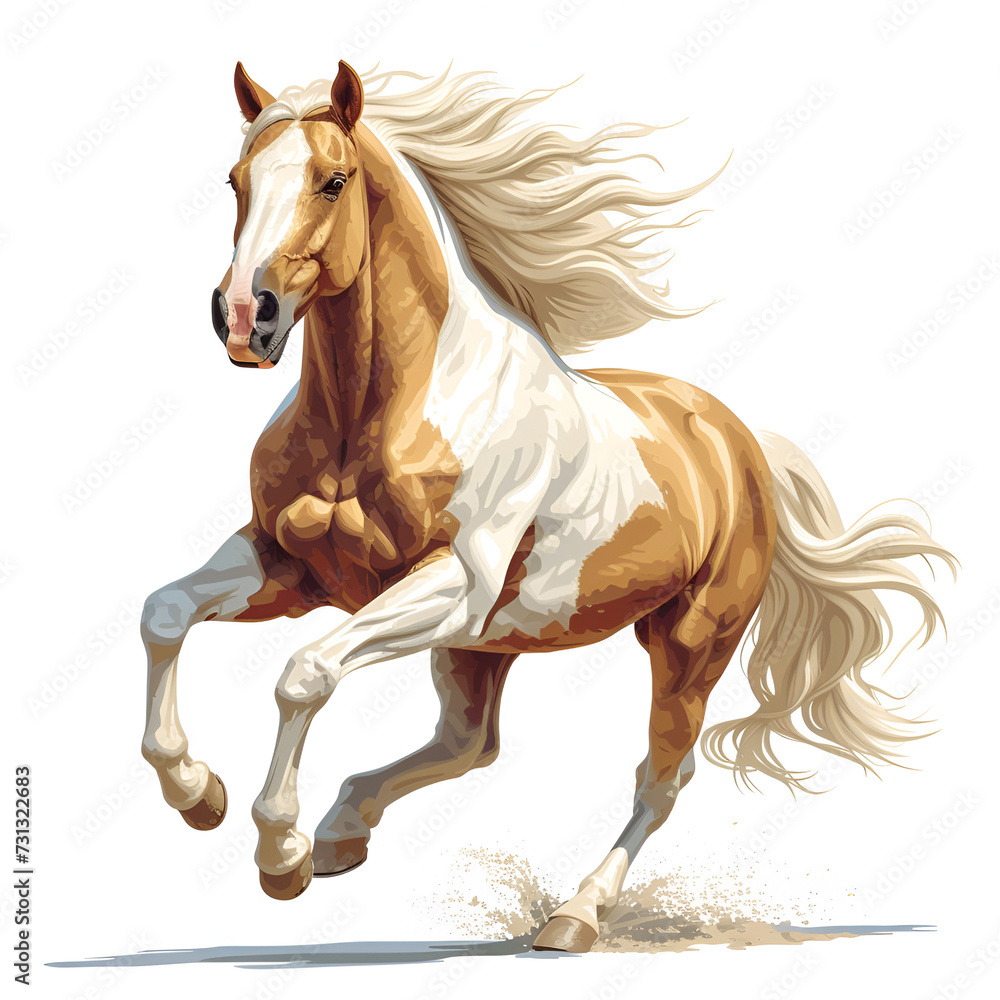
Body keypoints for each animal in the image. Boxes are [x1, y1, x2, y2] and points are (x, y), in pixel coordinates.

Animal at [140, 61, 956, 953]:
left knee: (660, 778)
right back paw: (343, 833)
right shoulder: (289, 565)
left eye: (333, 180)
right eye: (236, 180)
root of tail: (740, 443)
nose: (242, 319)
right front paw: (198, 794)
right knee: (472, 744)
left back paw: (572, 916)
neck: (389, 412)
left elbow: (304, 674)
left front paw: (277, 852)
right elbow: (165, 613)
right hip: (483, 645)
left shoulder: (451, 585)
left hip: (687, 644)